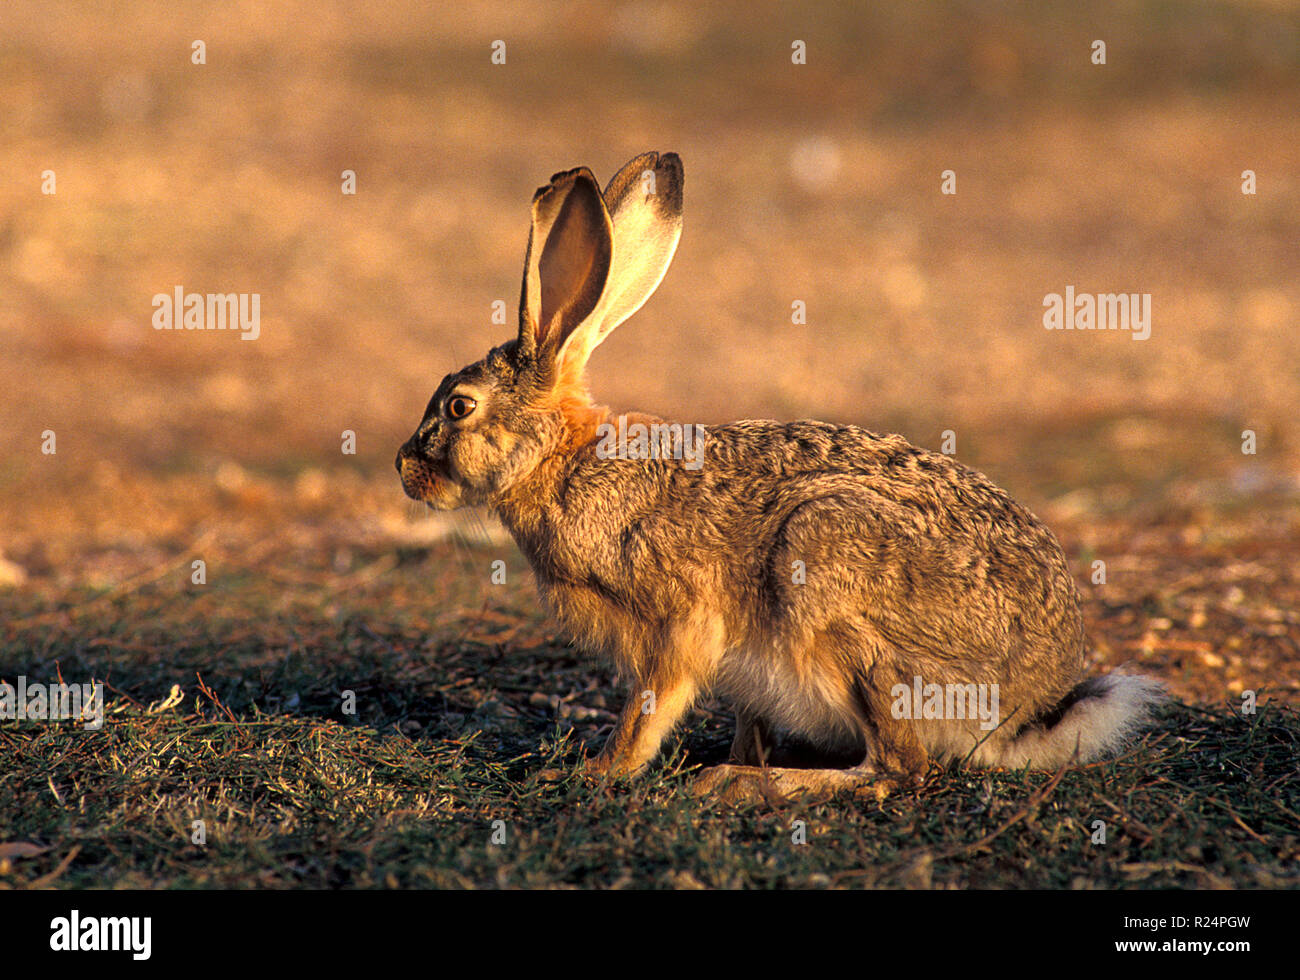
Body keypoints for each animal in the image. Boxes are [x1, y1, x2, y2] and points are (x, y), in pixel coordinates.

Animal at [396, 150, 1163, 801]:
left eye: (459, 406)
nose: (405, 470)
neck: (563, 463)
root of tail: (1029, 710)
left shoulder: (680, 621)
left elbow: (649, 709)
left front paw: (597, 772)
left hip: (835, 580)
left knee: (899, 768)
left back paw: (740, 786)